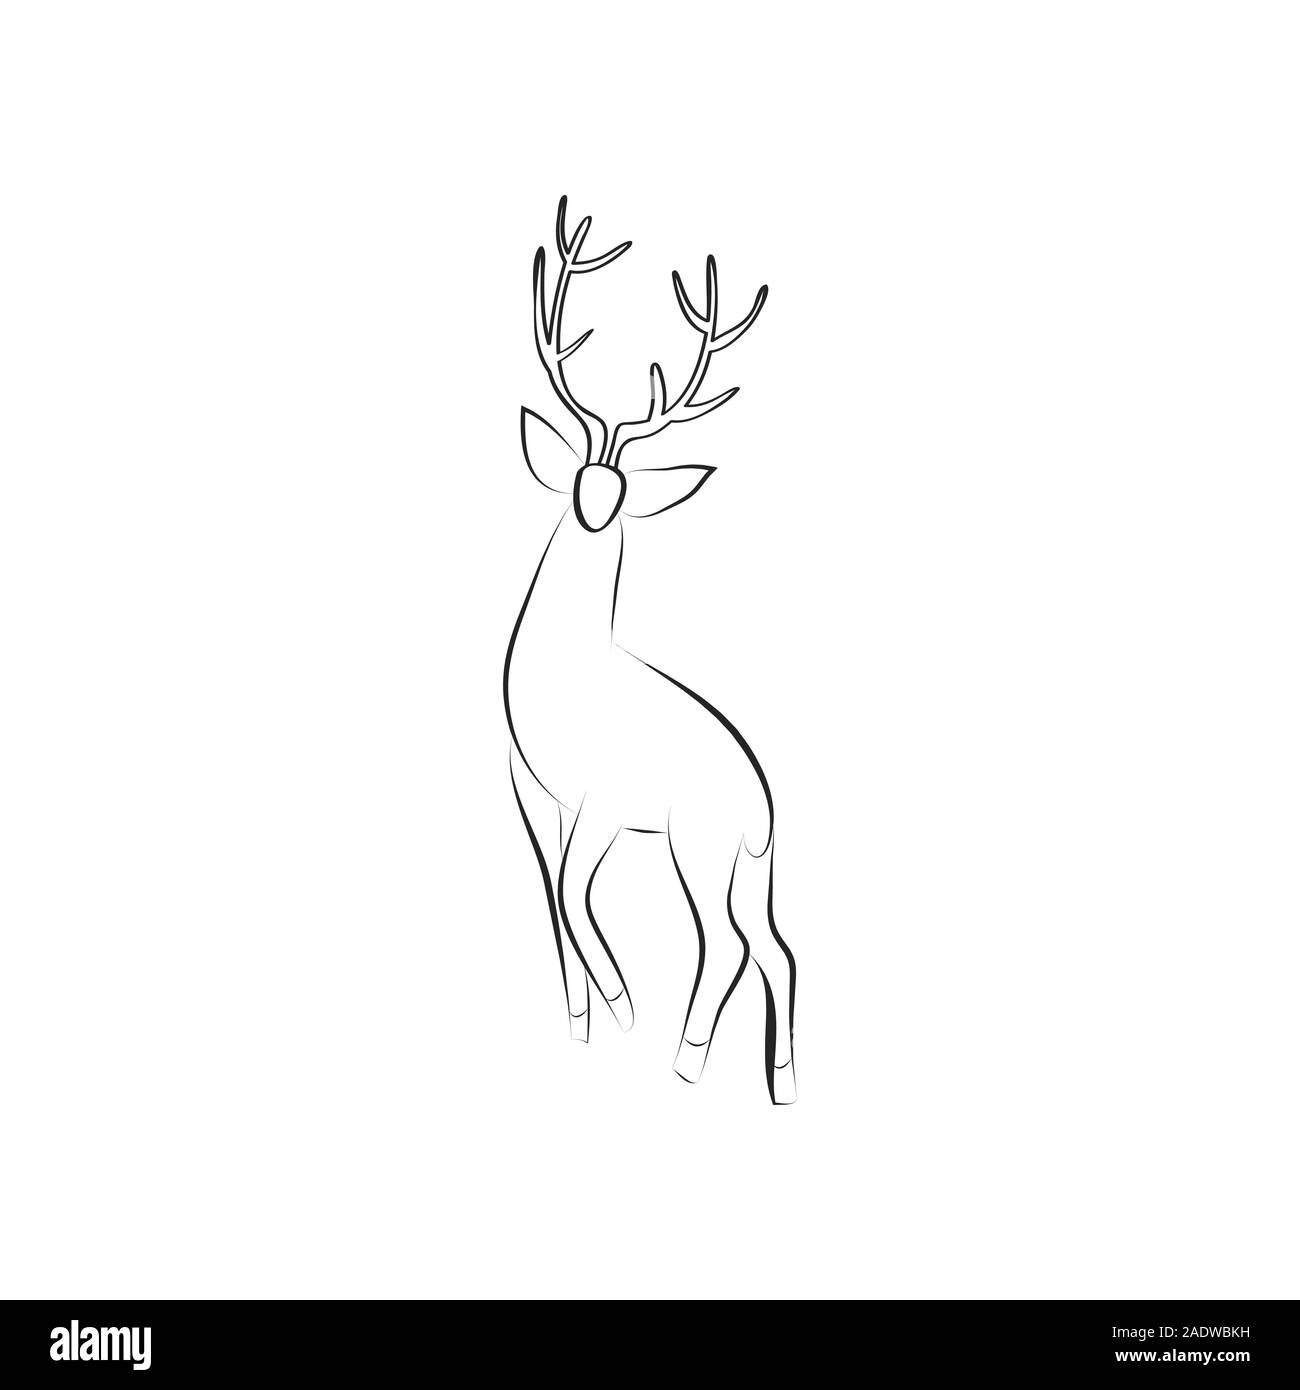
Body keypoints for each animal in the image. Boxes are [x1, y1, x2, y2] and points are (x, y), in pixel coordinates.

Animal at [504, 197, 797, 1104]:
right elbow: (550, 900)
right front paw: (580, 1024)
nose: (596, 507)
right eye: (579, 476)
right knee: (775, 948)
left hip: (698, 844)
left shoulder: (601, 802)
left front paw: (623, 1005)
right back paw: (780, 1081)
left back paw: (686, 1061)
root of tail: (761, 806)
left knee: (728, 945)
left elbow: (573, 894)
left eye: (625, 486)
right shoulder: (533, 794)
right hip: (748, 867)